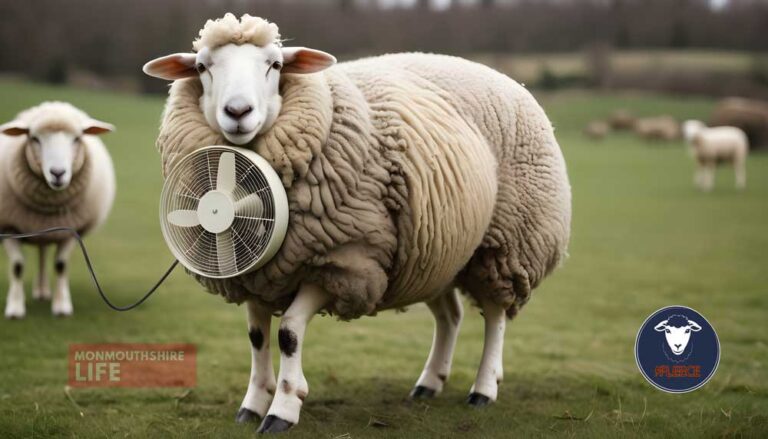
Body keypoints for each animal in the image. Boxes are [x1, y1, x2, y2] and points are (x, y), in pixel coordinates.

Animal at [0, 102, 115, 319]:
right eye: (34, 138)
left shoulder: (71, 230)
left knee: (44, 253)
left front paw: (62, 306)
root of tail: (52, 105)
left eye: (77, 138)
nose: (58, 173)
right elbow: (17, 266)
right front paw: (15, 308)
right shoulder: (9, 227)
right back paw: (41, 291)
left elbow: (61, 266)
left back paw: (43, 291)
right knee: (42, 252)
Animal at [144, 13, 571, 433]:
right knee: (450, 315)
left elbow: (288, 333)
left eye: (275, 65)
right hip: (433, 248)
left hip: (508, 243)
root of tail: (504, 77)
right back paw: (429, 383)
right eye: (202, 67)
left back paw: (483, 389)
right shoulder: (255, 270)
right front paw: (252, 404)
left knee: (496, 315)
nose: (237, 112)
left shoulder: (342, 260)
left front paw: (282, 409)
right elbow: (256, 336)